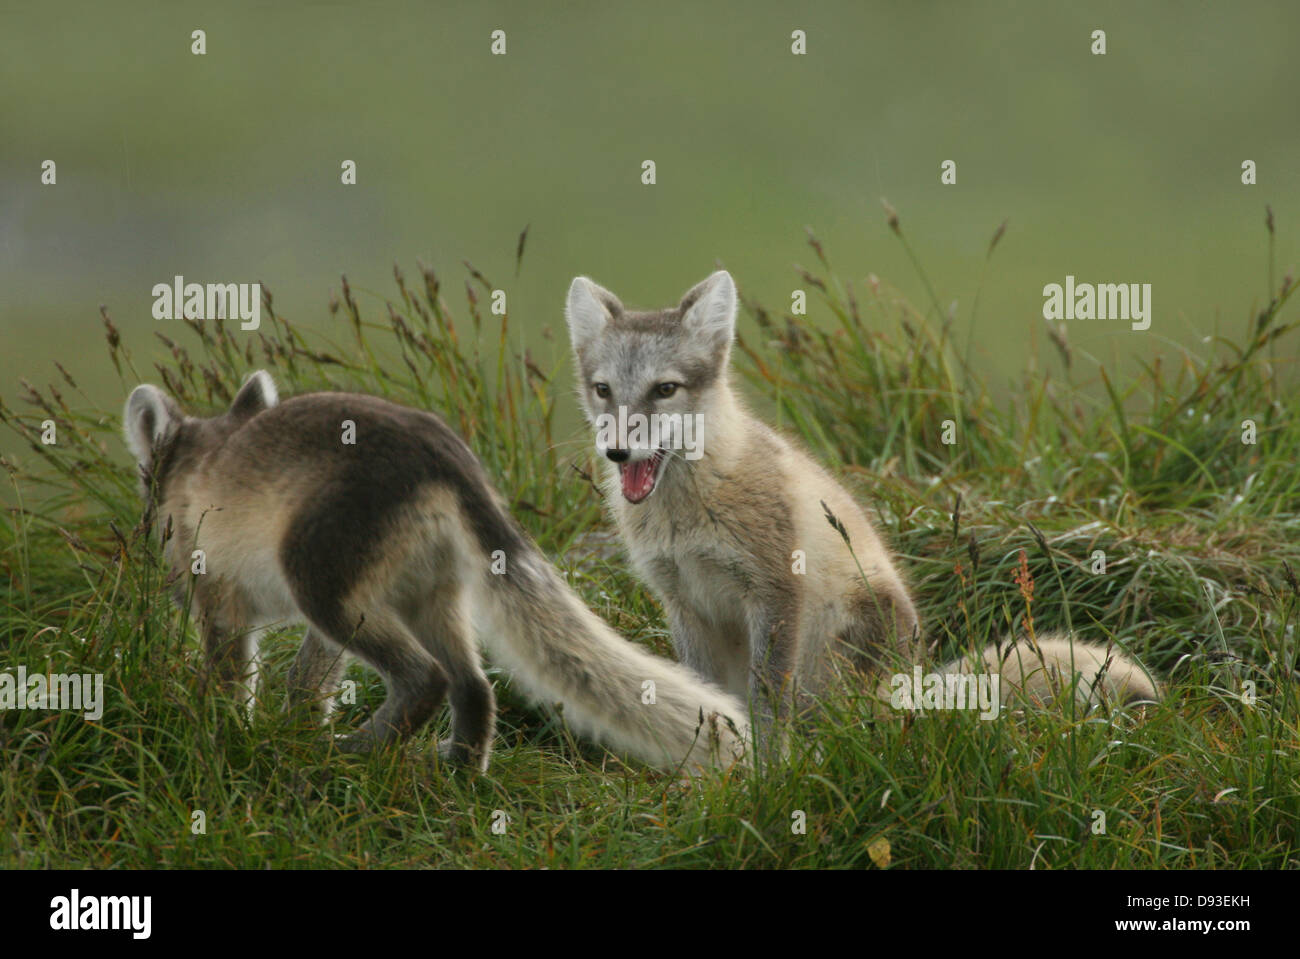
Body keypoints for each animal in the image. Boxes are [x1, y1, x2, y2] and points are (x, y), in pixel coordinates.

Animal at [122, 371, 748, 773]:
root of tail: (445, 456)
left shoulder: (219, 600)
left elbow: (230, 680)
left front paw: (225, 735)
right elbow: (308, 680)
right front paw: (295, 728)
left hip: (320, 580)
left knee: (427, 677)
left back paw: (353, 752)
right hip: (424, 593)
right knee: (473, 687)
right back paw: (460, 770)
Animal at [564, 269, 1161, 727]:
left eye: (665, 390)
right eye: (603, 390)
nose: (616, 451)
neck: (686, 515)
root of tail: (918, 680)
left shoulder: (776, 593)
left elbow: (766, 706)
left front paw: (766, 778)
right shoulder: (684, 603)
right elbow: (705, 697)